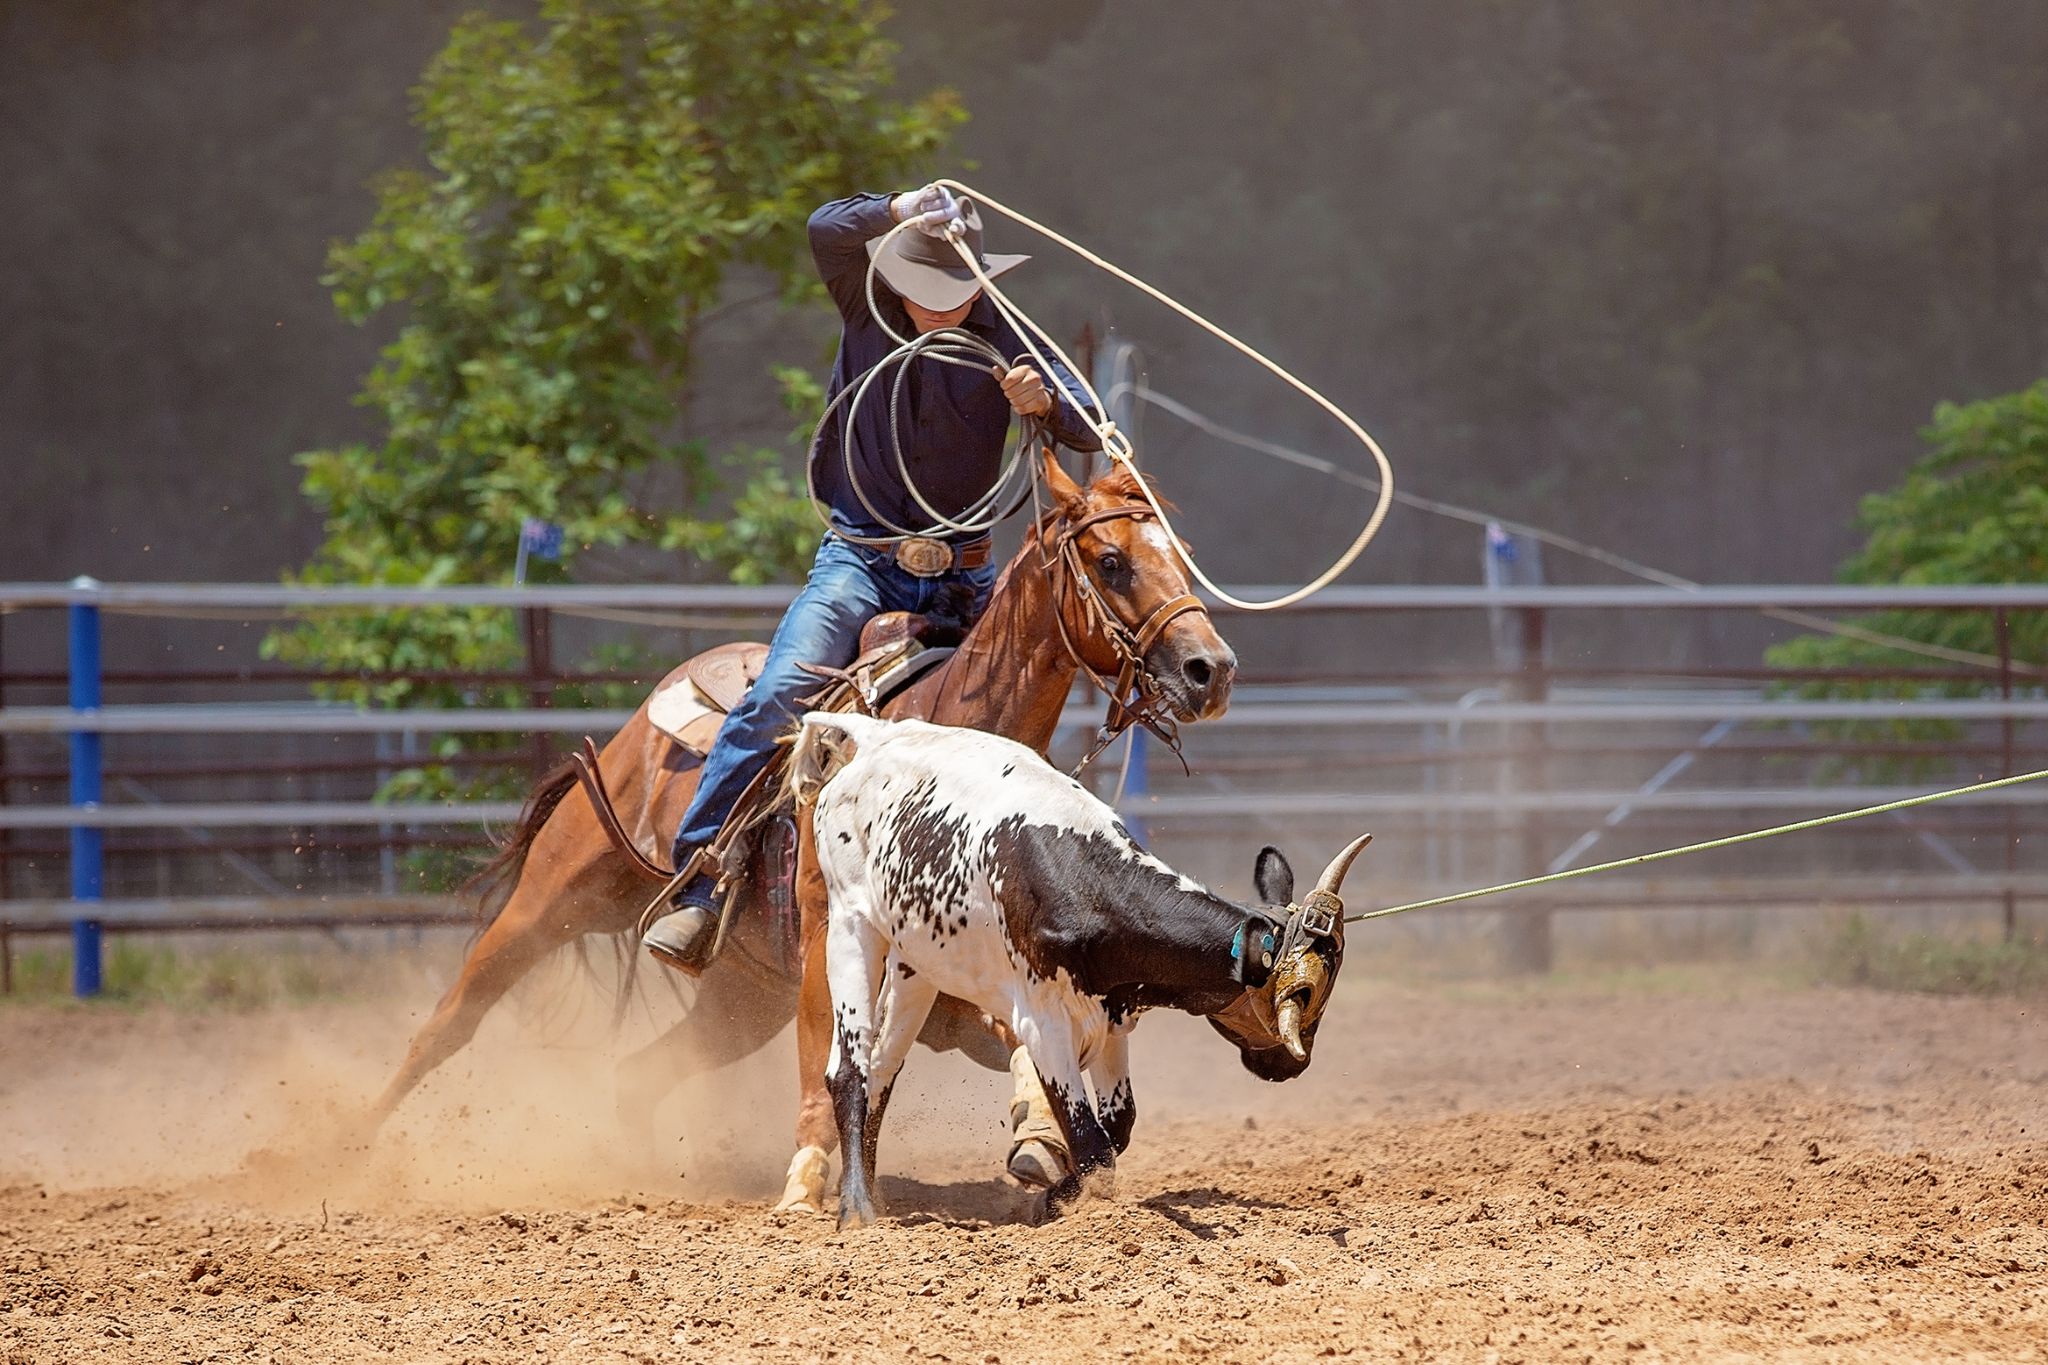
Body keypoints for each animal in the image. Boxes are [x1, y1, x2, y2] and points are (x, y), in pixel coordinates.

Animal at [364, 450, 1237, 1207]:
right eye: (1112, 560)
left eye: (1182, 555)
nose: (1212, 670)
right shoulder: (832, 935)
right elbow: (833, 1055)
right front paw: (810, 1178)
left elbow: (1022, 1040)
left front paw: (1041, 1143)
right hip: (553, 899)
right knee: (452, 1020)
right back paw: (353, 1144)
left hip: (739, 998)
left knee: (645, 1070)